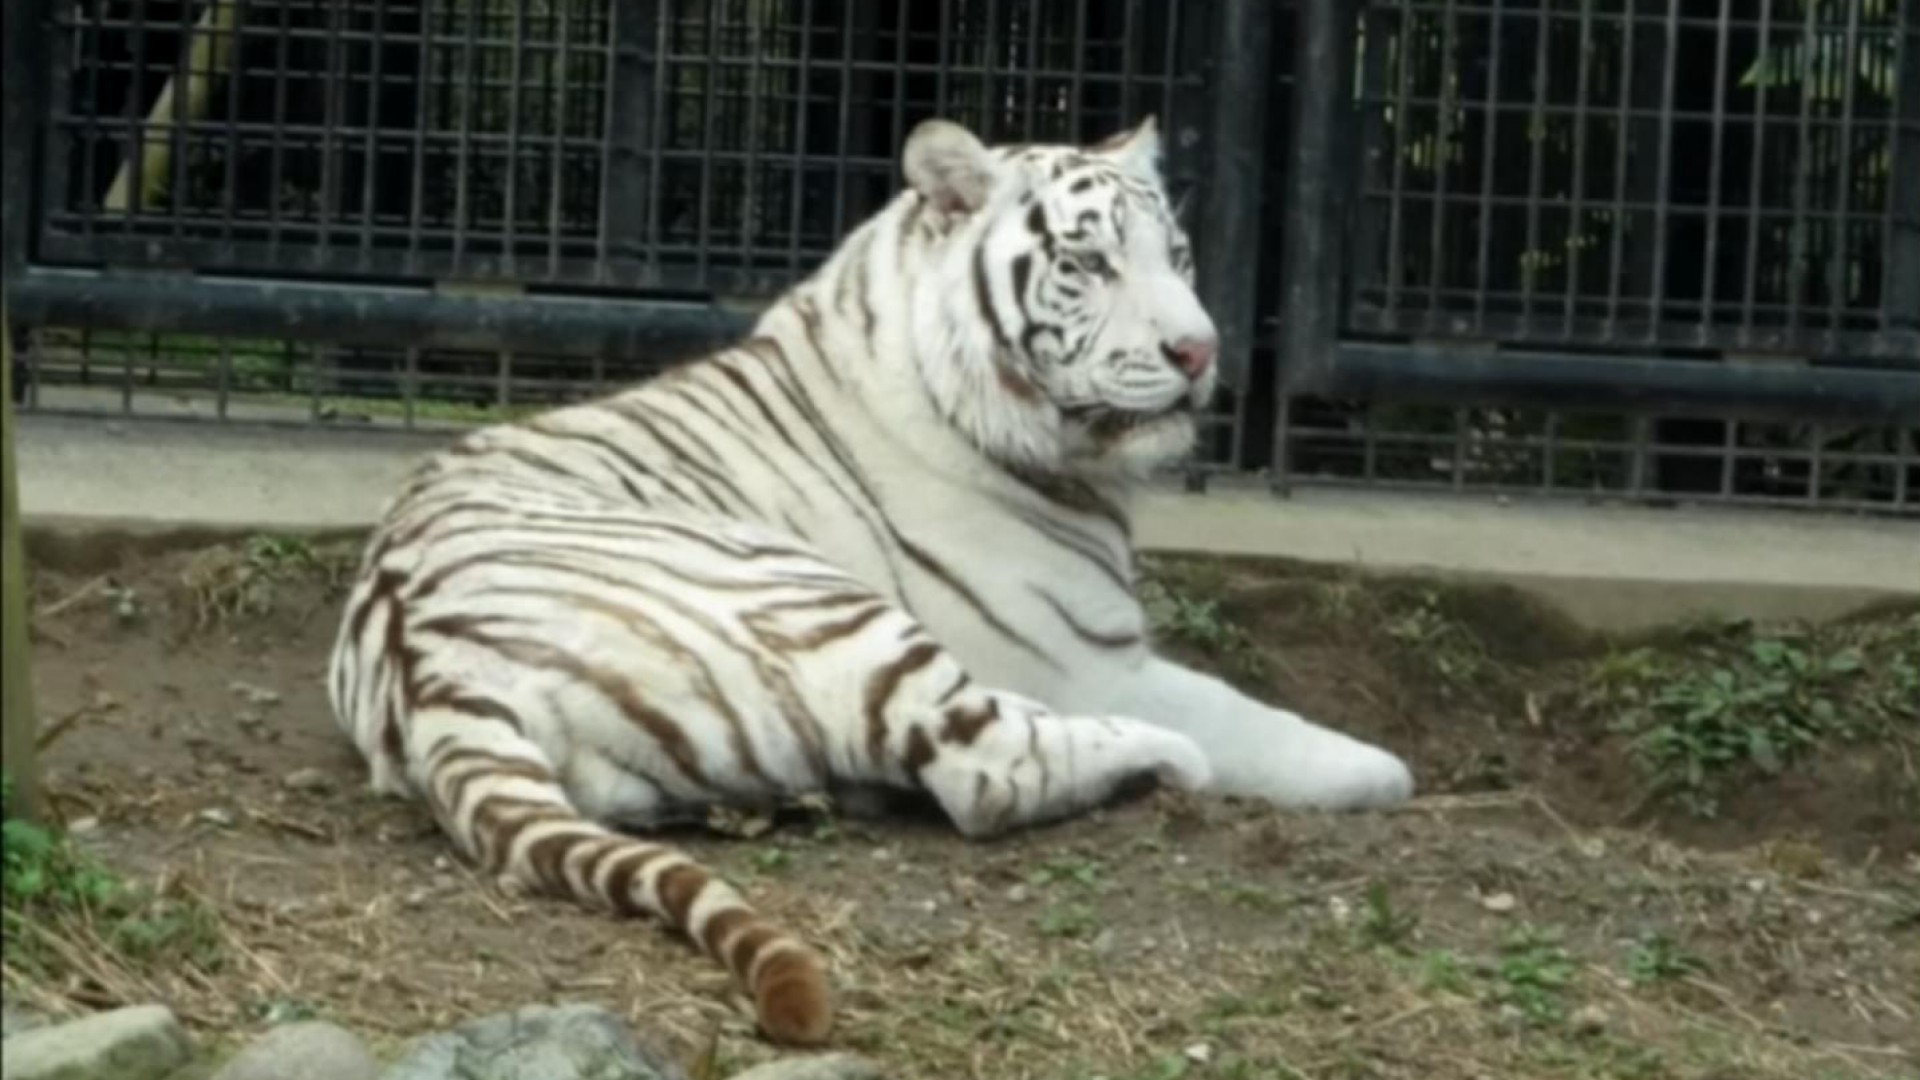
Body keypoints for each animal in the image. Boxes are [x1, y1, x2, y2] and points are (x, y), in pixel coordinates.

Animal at [326, 116, 1415, 1046]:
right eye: (1089, 262)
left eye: (1176, 258)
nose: (1199, 351)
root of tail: (429, 669)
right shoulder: (1085, 660)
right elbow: (1252, 720)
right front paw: (1381, 769)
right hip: (828, 605)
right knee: (989, 768)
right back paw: (1157, 757)